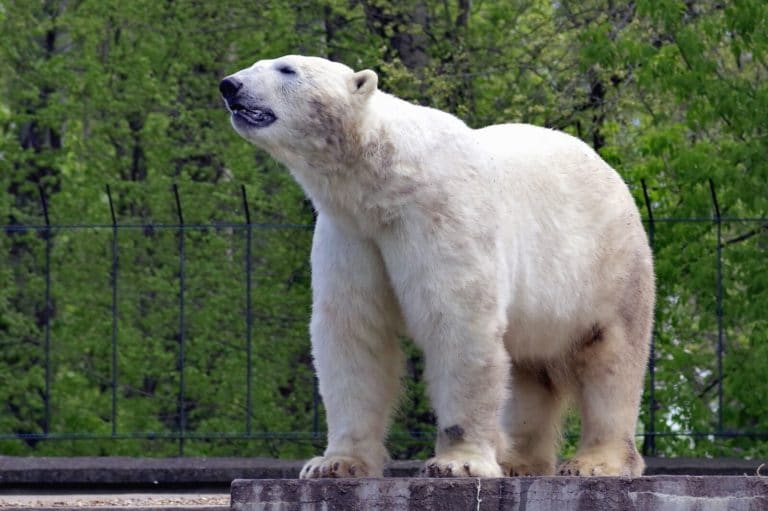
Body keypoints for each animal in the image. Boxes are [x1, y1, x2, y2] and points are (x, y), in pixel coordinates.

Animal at [219, 55, 654, 478]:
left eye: (286, 68)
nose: (230, 85)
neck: (384, 182)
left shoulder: (442, 217)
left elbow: (458, 324)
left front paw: (457, 461)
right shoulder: (352, 235)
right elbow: (353, 331)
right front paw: (335, 463)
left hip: (608, 269)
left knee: (611, 359)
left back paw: (596, 462)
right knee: (530, 372)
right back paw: (519, 462)